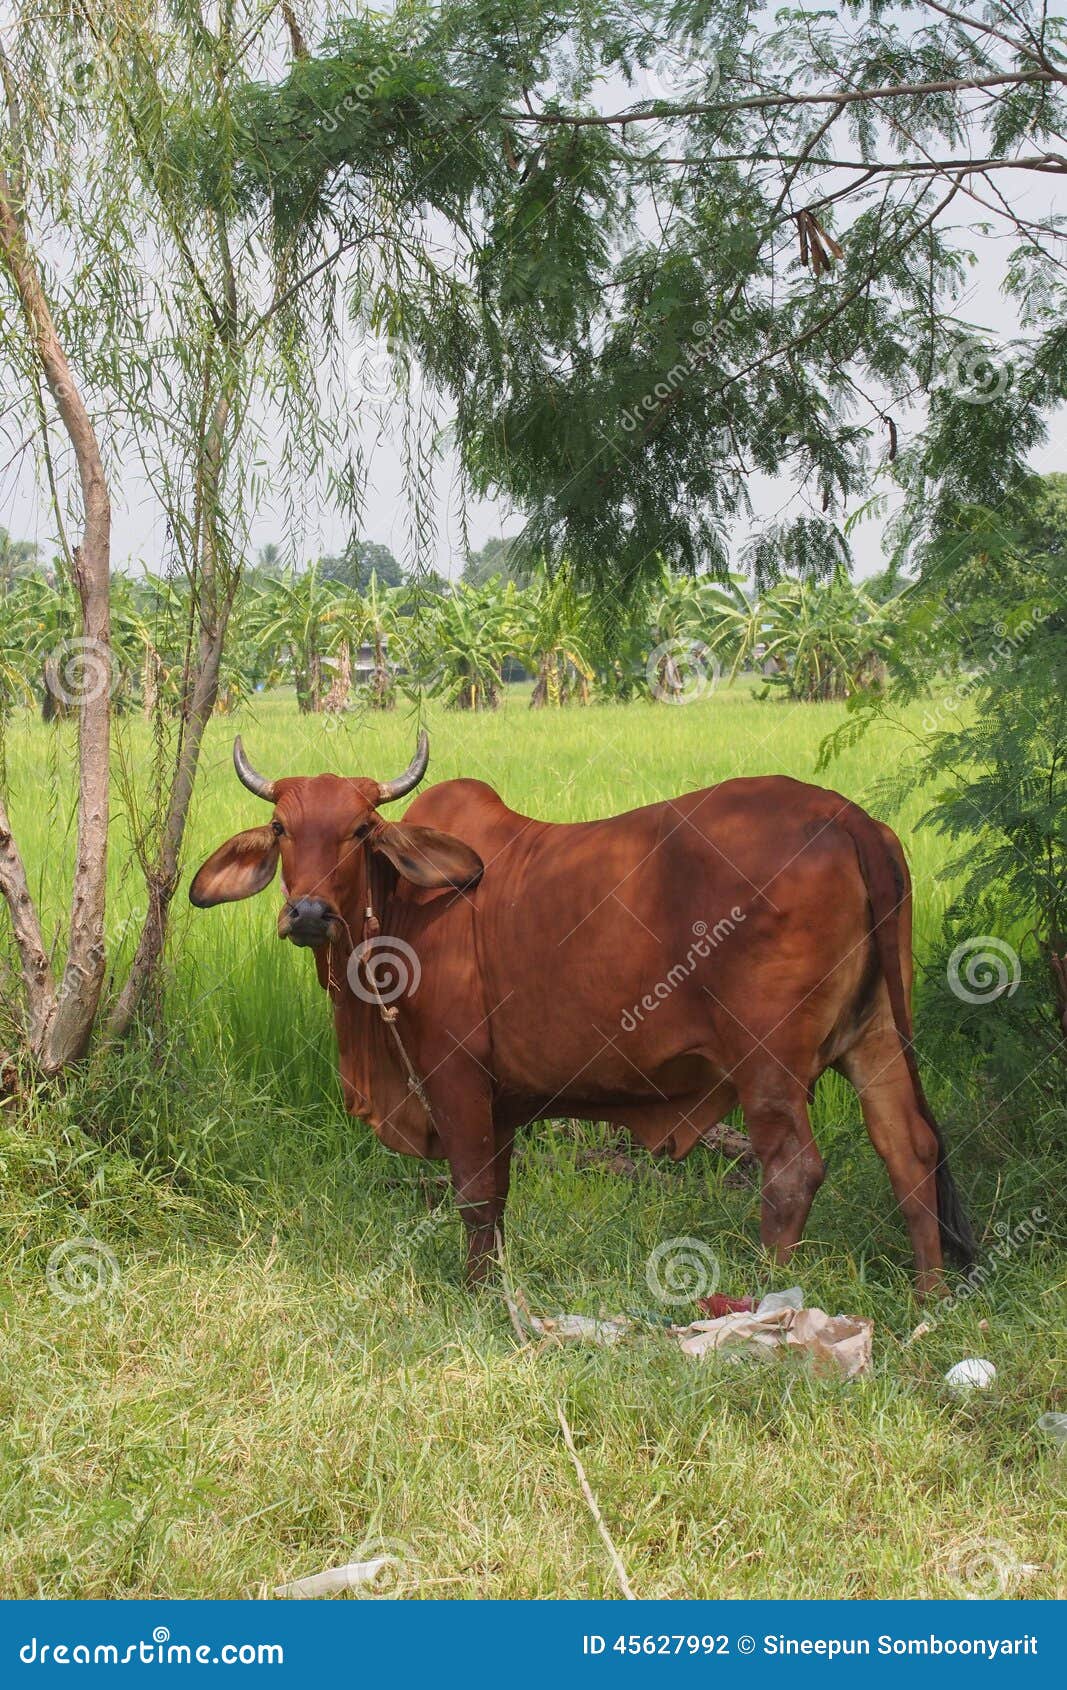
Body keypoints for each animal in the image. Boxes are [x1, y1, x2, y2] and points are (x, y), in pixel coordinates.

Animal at [189, 733, 976, 1297]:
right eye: (280, 826)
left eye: (360, 829)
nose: (308, 913)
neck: (402, 908)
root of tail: (849, 818)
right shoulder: (499, 1099)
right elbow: (497, 1196)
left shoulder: (454, 1073)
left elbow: (474, 1195)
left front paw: (479, 1296)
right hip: (876, 1033)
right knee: (908, 1149)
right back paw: (927, 1302)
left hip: (768, 1062)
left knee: (792, 1171)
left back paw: (765, 1298)